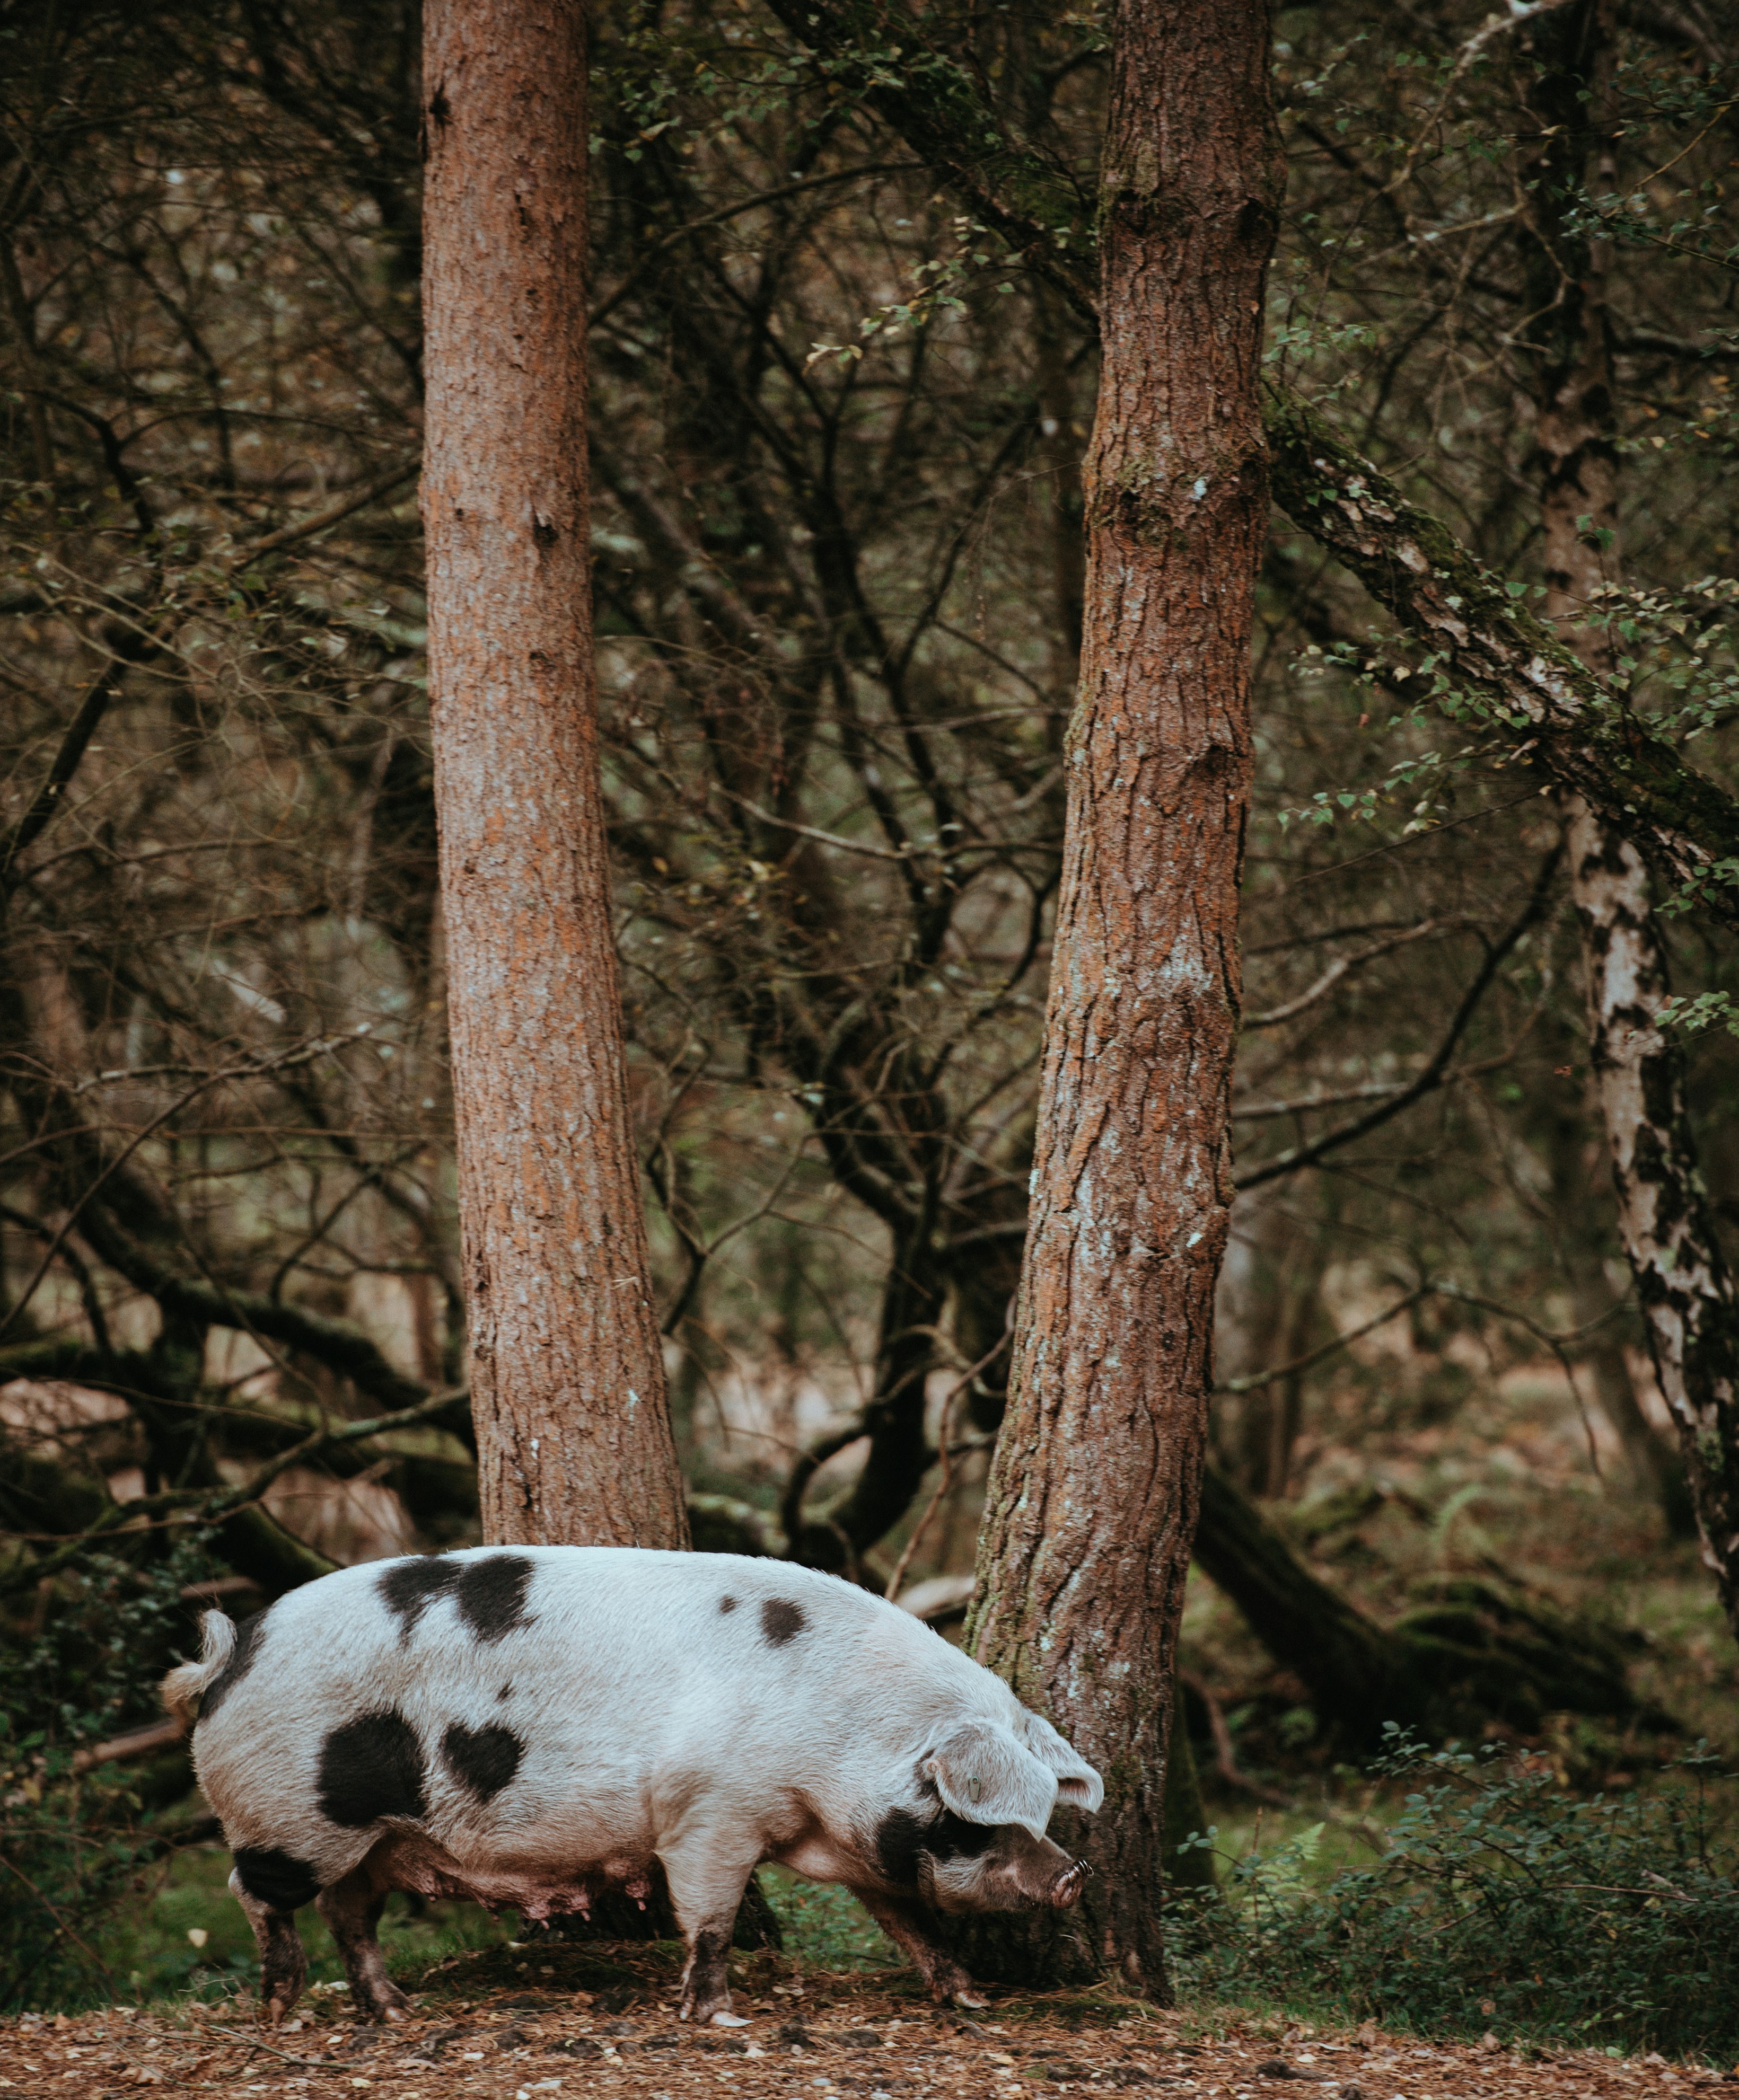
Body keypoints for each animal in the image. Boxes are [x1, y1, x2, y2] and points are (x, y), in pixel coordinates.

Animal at [161, 1545, 1102, 2027]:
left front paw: (969, 1994)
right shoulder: (710, 1812)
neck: (836, 1732)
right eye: (979, 1816)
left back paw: (393, 2011)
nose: (1072, 1872)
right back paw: (284, 2010)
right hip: (295, 1818)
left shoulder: (842, 1843)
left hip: (371, 1837)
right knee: (259, 1893)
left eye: (1046, 1811)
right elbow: (710, 1917)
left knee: (349, 1914)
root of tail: (226, 1658)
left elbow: (908, 1920)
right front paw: (717, 2018)